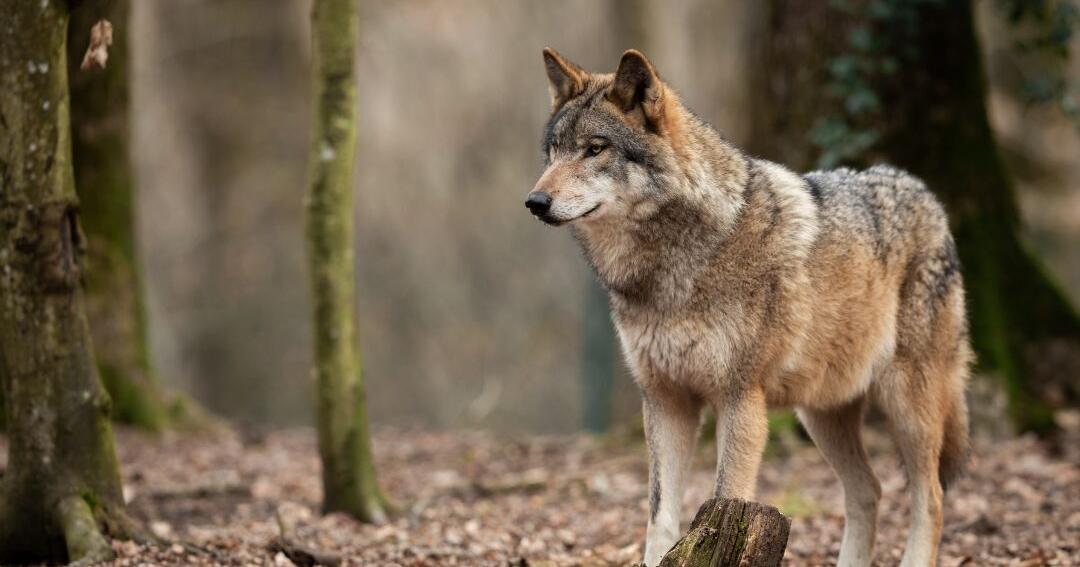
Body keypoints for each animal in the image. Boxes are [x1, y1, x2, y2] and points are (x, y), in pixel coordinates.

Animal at [527, 48, 971, 567]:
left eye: (595, 149)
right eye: (553, 152)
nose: (535, 201)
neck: (671, 270)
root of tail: (925, 193)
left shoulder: (740, 399)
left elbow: (724, 497)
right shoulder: (665, 400)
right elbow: (659, 517)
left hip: (908, 405)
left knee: (931, 497)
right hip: (821, 414)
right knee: (870, 491)